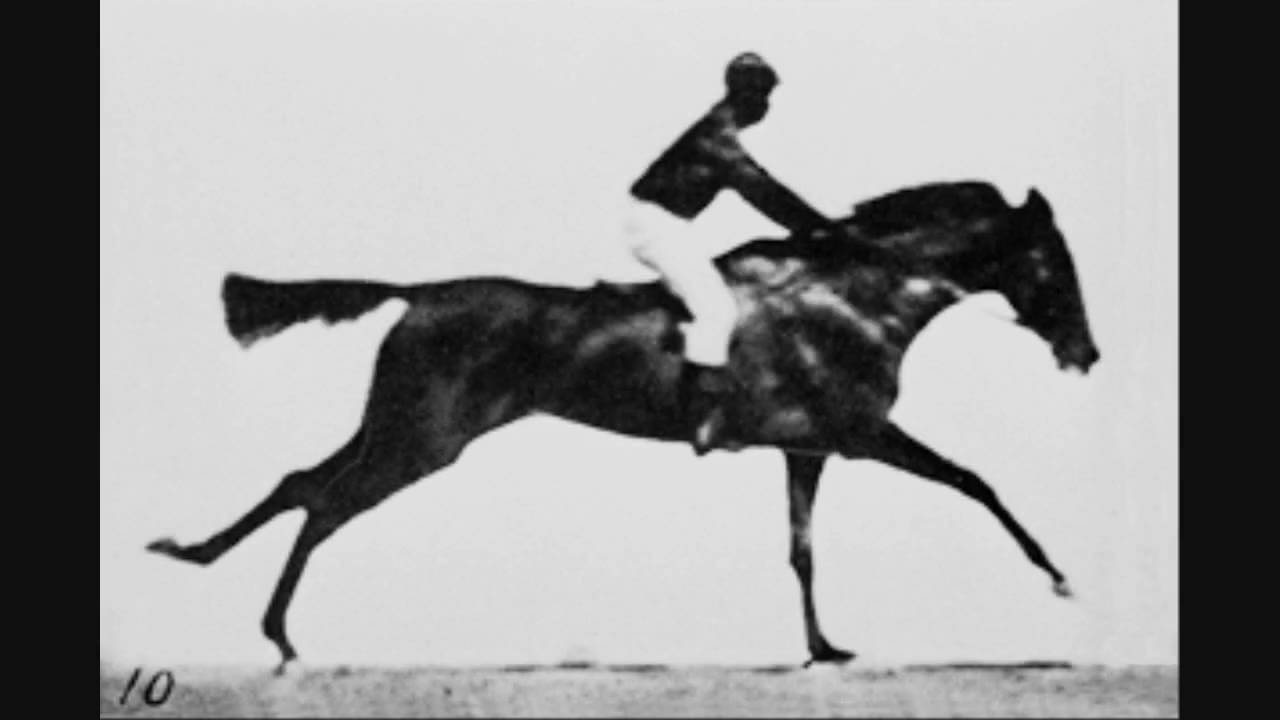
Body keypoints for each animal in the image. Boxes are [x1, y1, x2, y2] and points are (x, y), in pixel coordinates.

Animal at [147, 180, 1100, 672]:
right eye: (1052, 261)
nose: (1087, 353)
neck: (853, 294)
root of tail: (419, 293)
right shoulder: (863, 435)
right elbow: (978, 483)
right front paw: (1059, 578)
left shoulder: (810, 447)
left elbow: (801, 548)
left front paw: (823, 648)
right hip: (424, 440)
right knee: (326, 505)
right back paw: (278, 634)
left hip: (399, 426)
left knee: (301, 483)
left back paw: (192, 556)